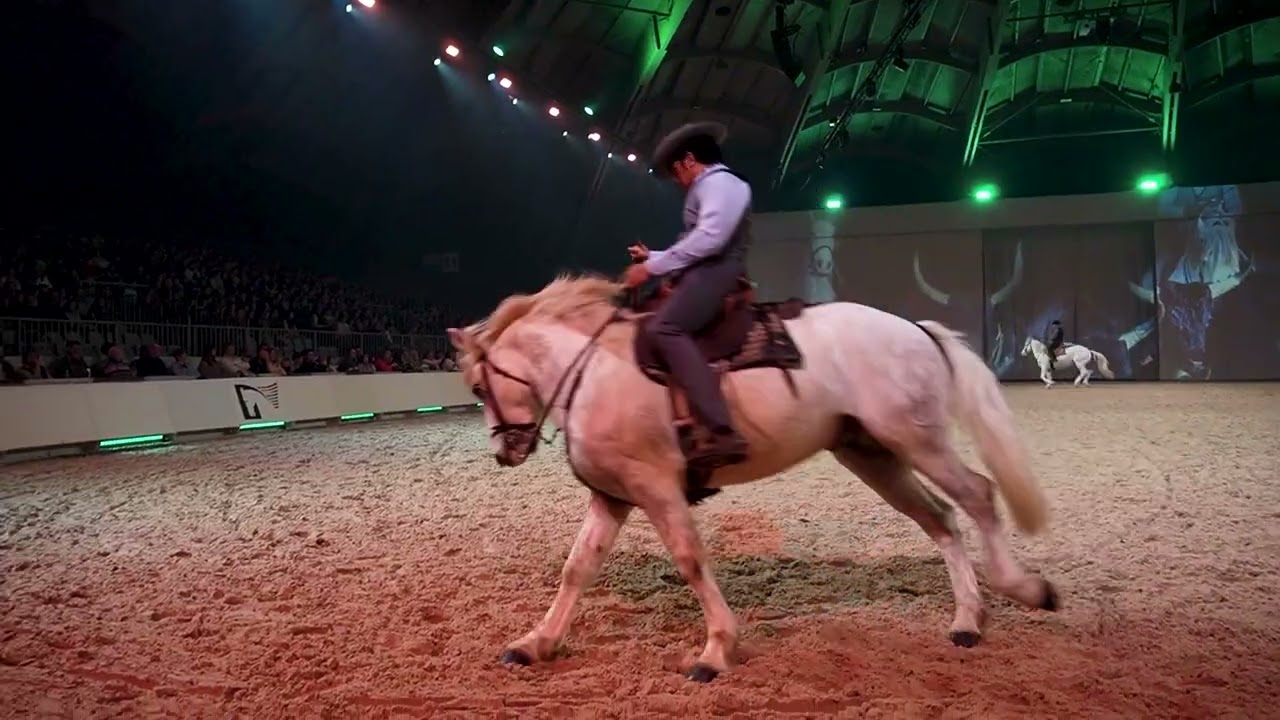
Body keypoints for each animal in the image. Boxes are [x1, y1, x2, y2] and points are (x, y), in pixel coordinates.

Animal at [447, 274, 1058, 683]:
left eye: (478, 388)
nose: (505, 451)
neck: (593, 370)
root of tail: (914, 327)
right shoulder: (612, 496)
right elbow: (577, 569)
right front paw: (536, 643)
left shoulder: (656, 489)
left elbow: (690, 561)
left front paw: (716, 650)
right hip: (872, 456)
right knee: (941, 518)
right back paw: (968, 619)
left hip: (917, 443)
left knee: (978, 495)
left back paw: (1024, 588)